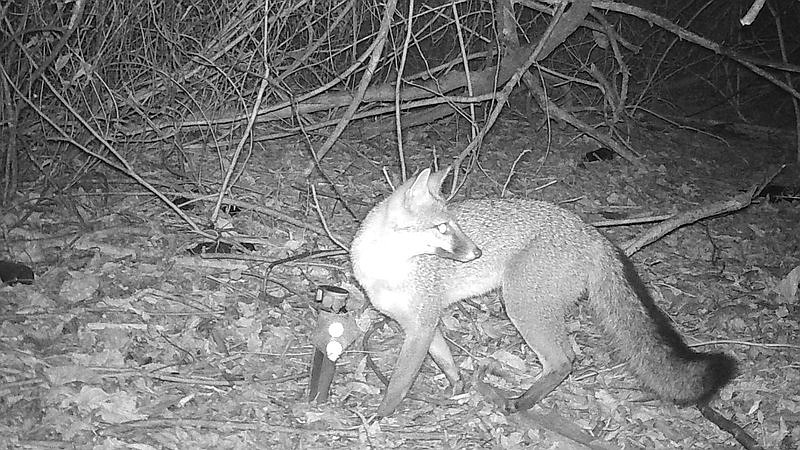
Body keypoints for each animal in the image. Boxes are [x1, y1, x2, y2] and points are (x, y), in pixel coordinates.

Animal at [350, 167, 737, 418]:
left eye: (456, 225)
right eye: (443, 227)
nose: (477, 252)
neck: (387, 270)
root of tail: (594, 234)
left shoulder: (423, 322)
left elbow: (400, 380)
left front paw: (381, 414)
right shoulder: (420, 323)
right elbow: (446, 360)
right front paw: (457, 387)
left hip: (520, 305)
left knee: (564, 360)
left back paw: (522, 402)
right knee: (568, 356)